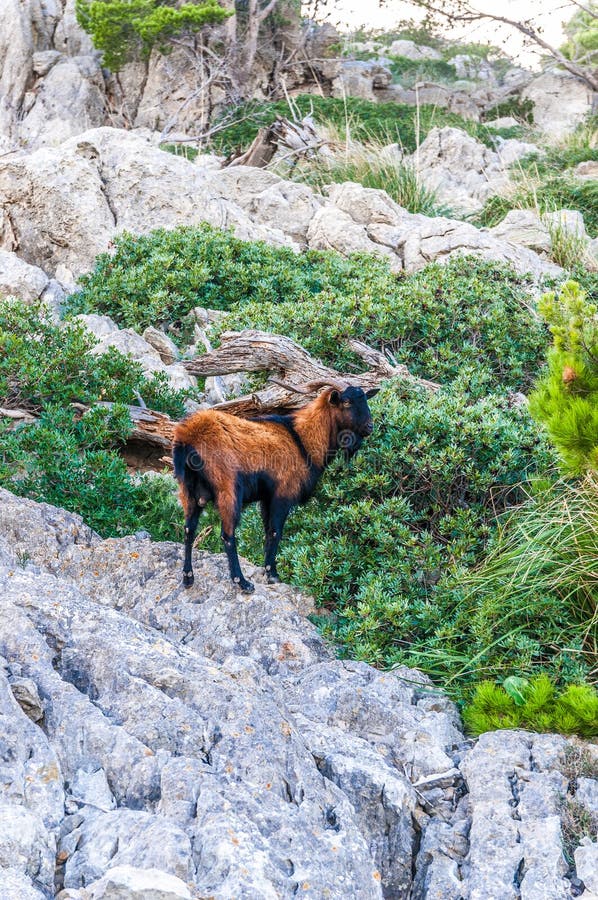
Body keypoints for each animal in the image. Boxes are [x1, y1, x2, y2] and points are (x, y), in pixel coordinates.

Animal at [172, 381, 378, 592]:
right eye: (346, 401)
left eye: (365, 398)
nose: (369, 426)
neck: (301, 439)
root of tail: (189, 438)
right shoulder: (283, 493)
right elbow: (275, 532)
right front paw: (273, 574)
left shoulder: (266, 498)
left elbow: (266, 532)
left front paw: (267, 570)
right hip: (228, 490)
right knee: (227, 535)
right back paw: (242, 582)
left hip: (189, 492)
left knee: (188, 530)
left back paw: (188, 578)